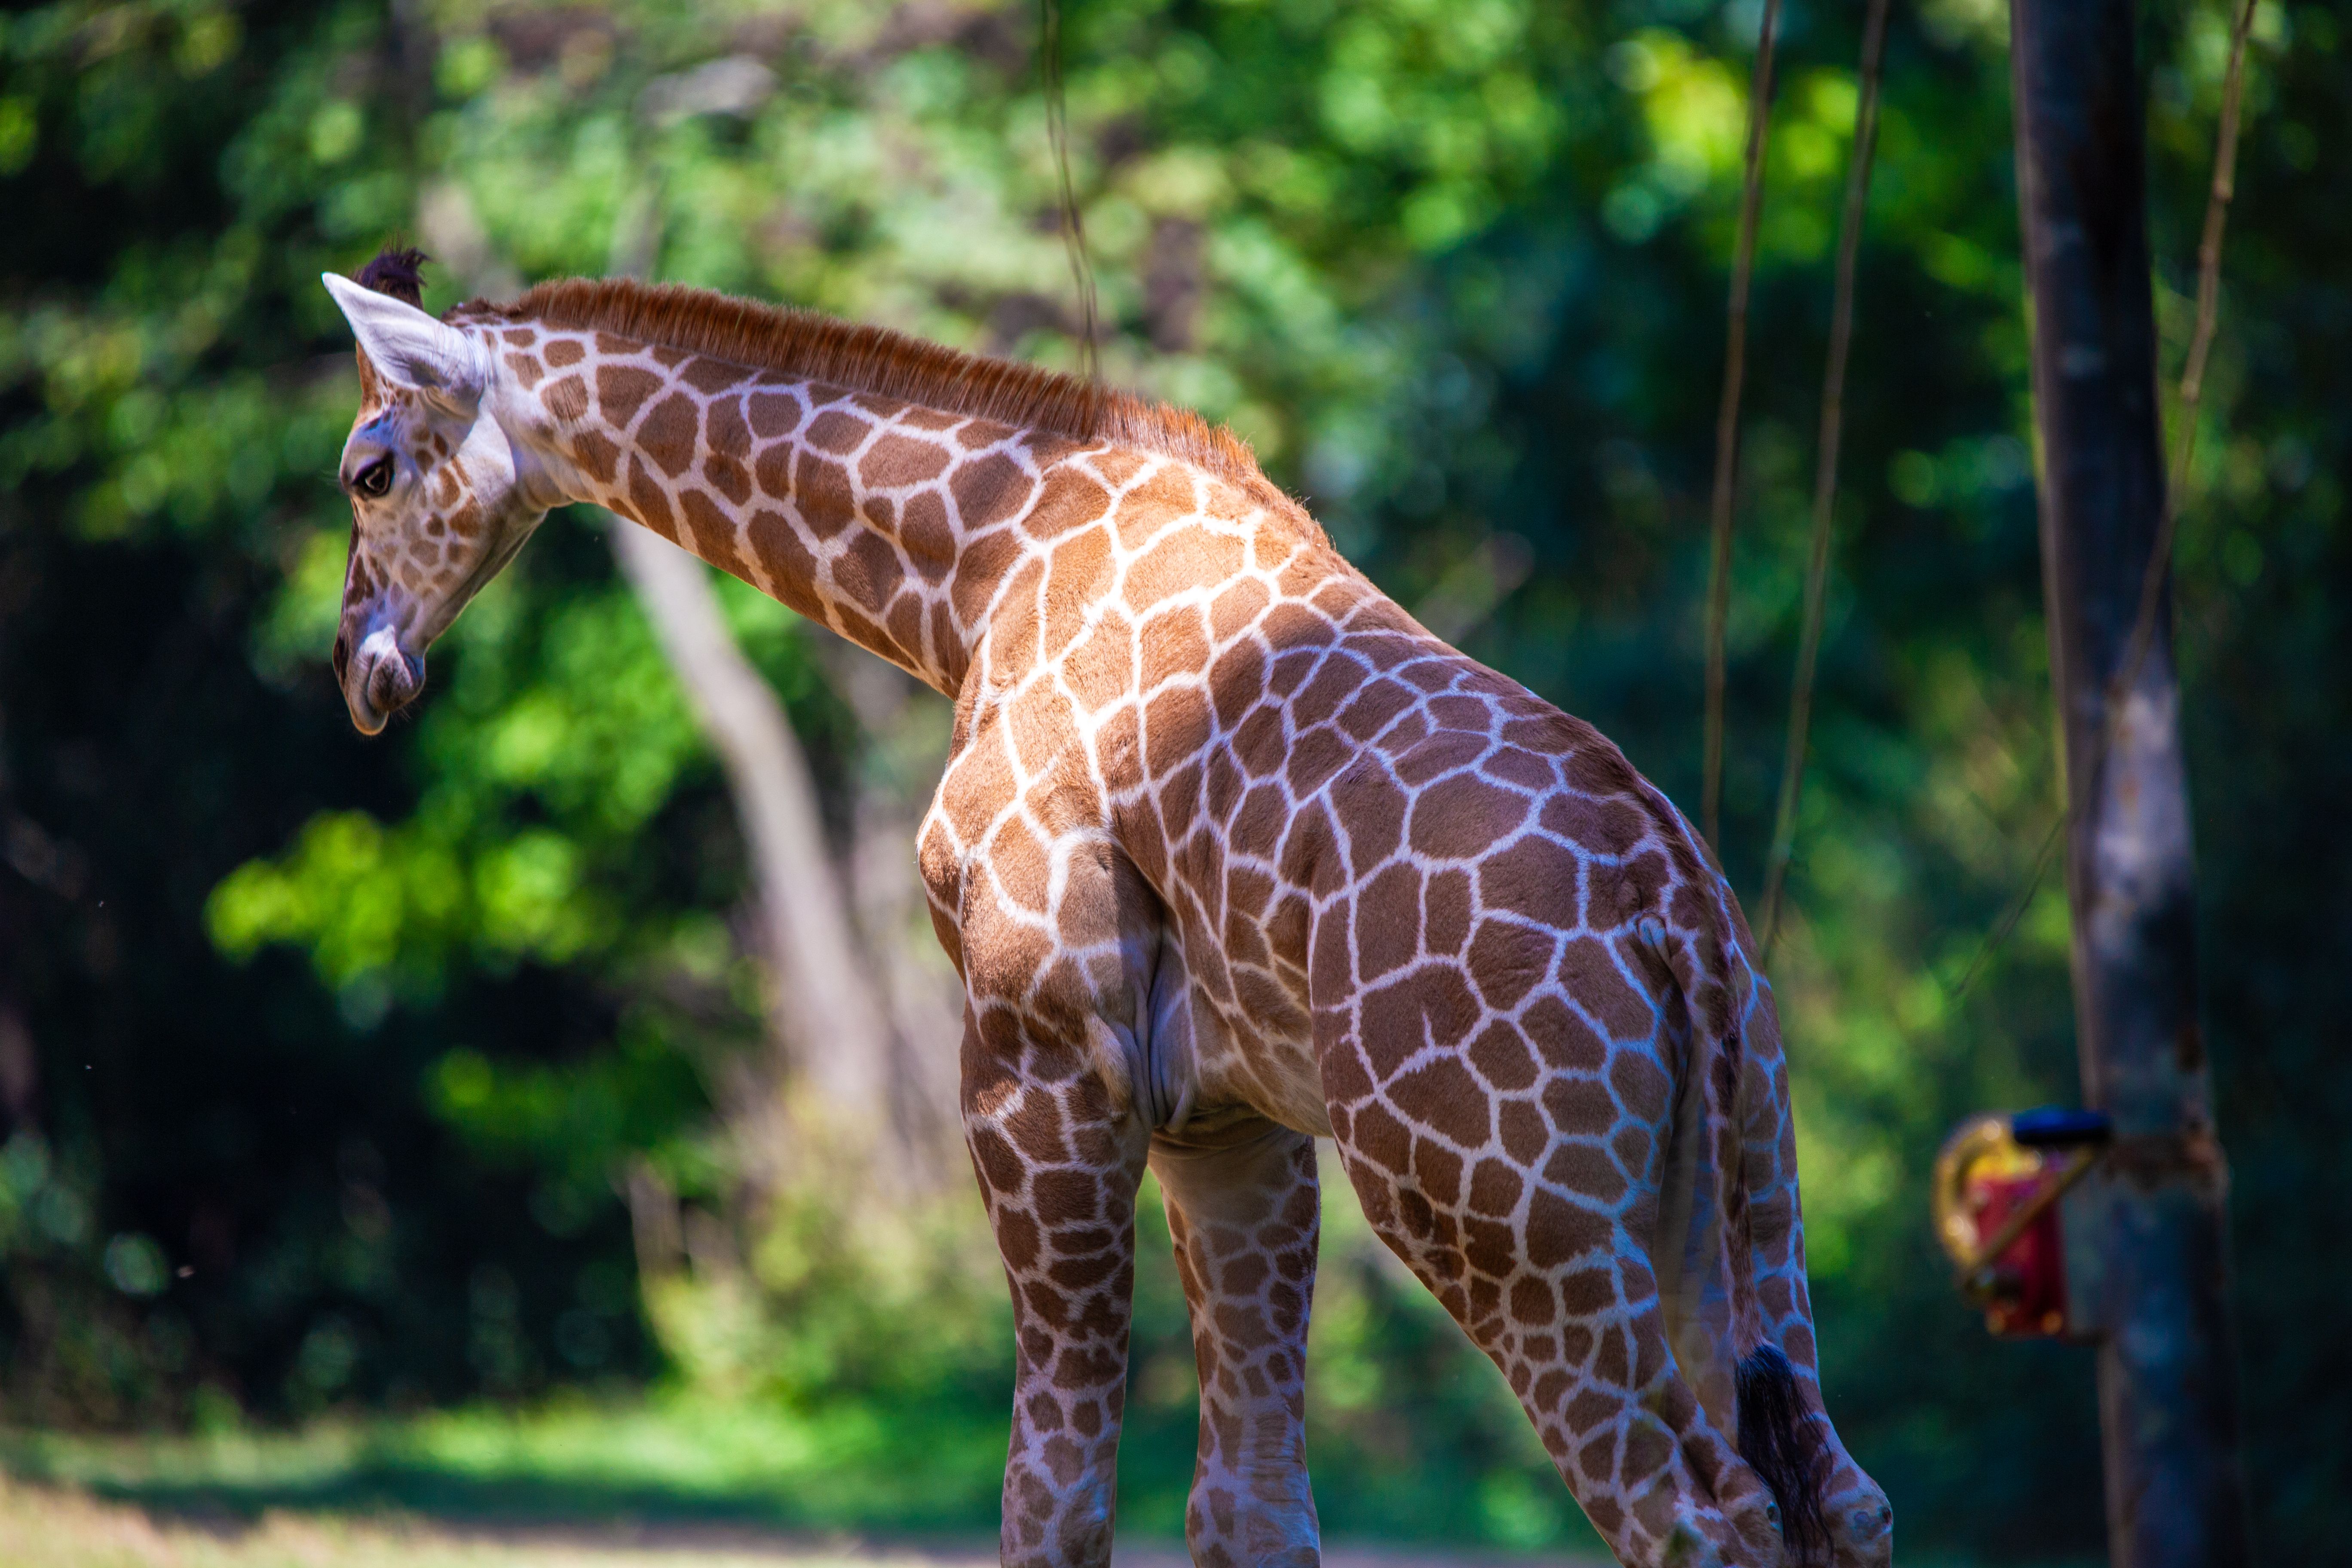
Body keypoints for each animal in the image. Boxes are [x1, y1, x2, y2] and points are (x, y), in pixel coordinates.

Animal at [319, 249, 1892, 1568]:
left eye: (369, 469)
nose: (362, 667)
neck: (979, 572)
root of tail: (1672, 899)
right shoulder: (1230, 1111)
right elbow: (1247, 1510)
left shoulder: (1043, 1056)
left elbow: (1053, 1495)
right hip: (1748, 1191)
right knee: (1834, 1495)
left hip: (1500, 1215)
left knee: (1691, 1514)